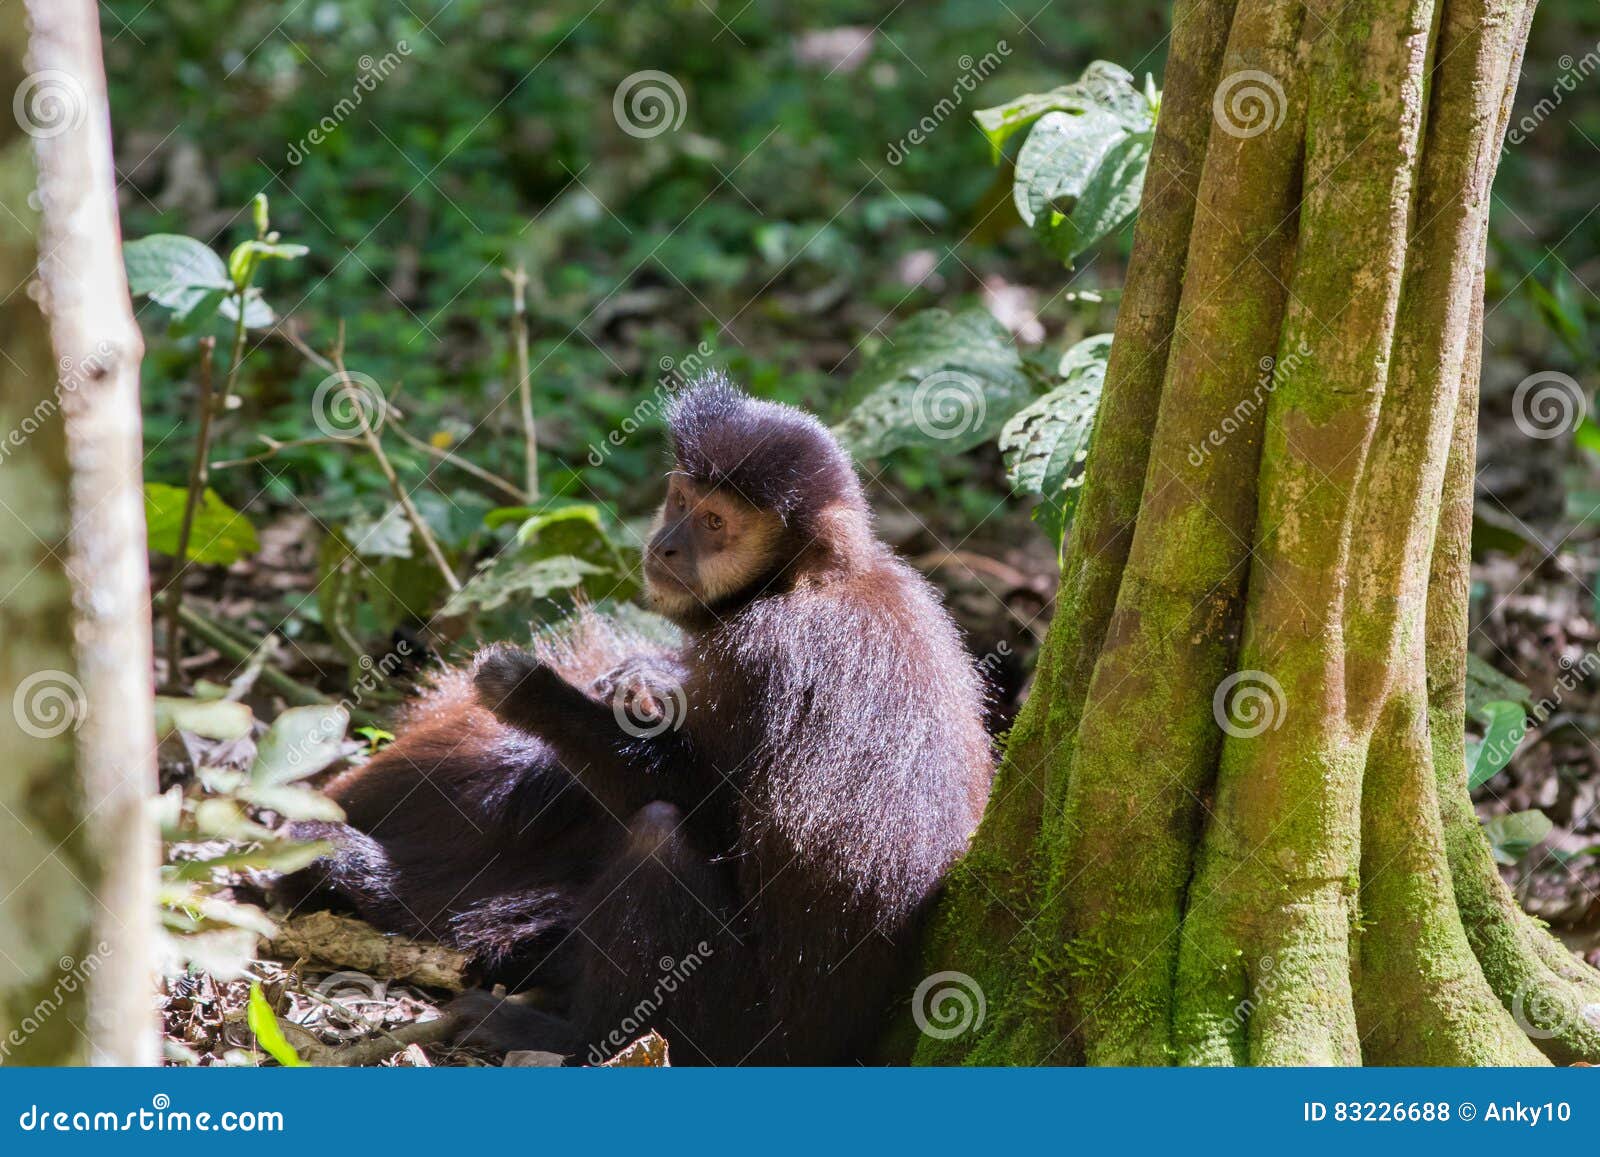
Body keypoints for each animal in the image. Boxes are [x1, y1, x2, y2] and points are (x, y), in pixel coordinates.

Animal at [453, 376, 996, 1064]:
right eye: (682, 499)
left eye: (715, 523)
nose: (665, 544)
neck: (800, 580)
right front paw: (647, 677)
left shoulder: (758, 652)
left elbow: (698, 800)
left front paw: (533, 695)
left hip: (741, 1029)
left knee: (658, 837)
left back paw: (574, 1036)